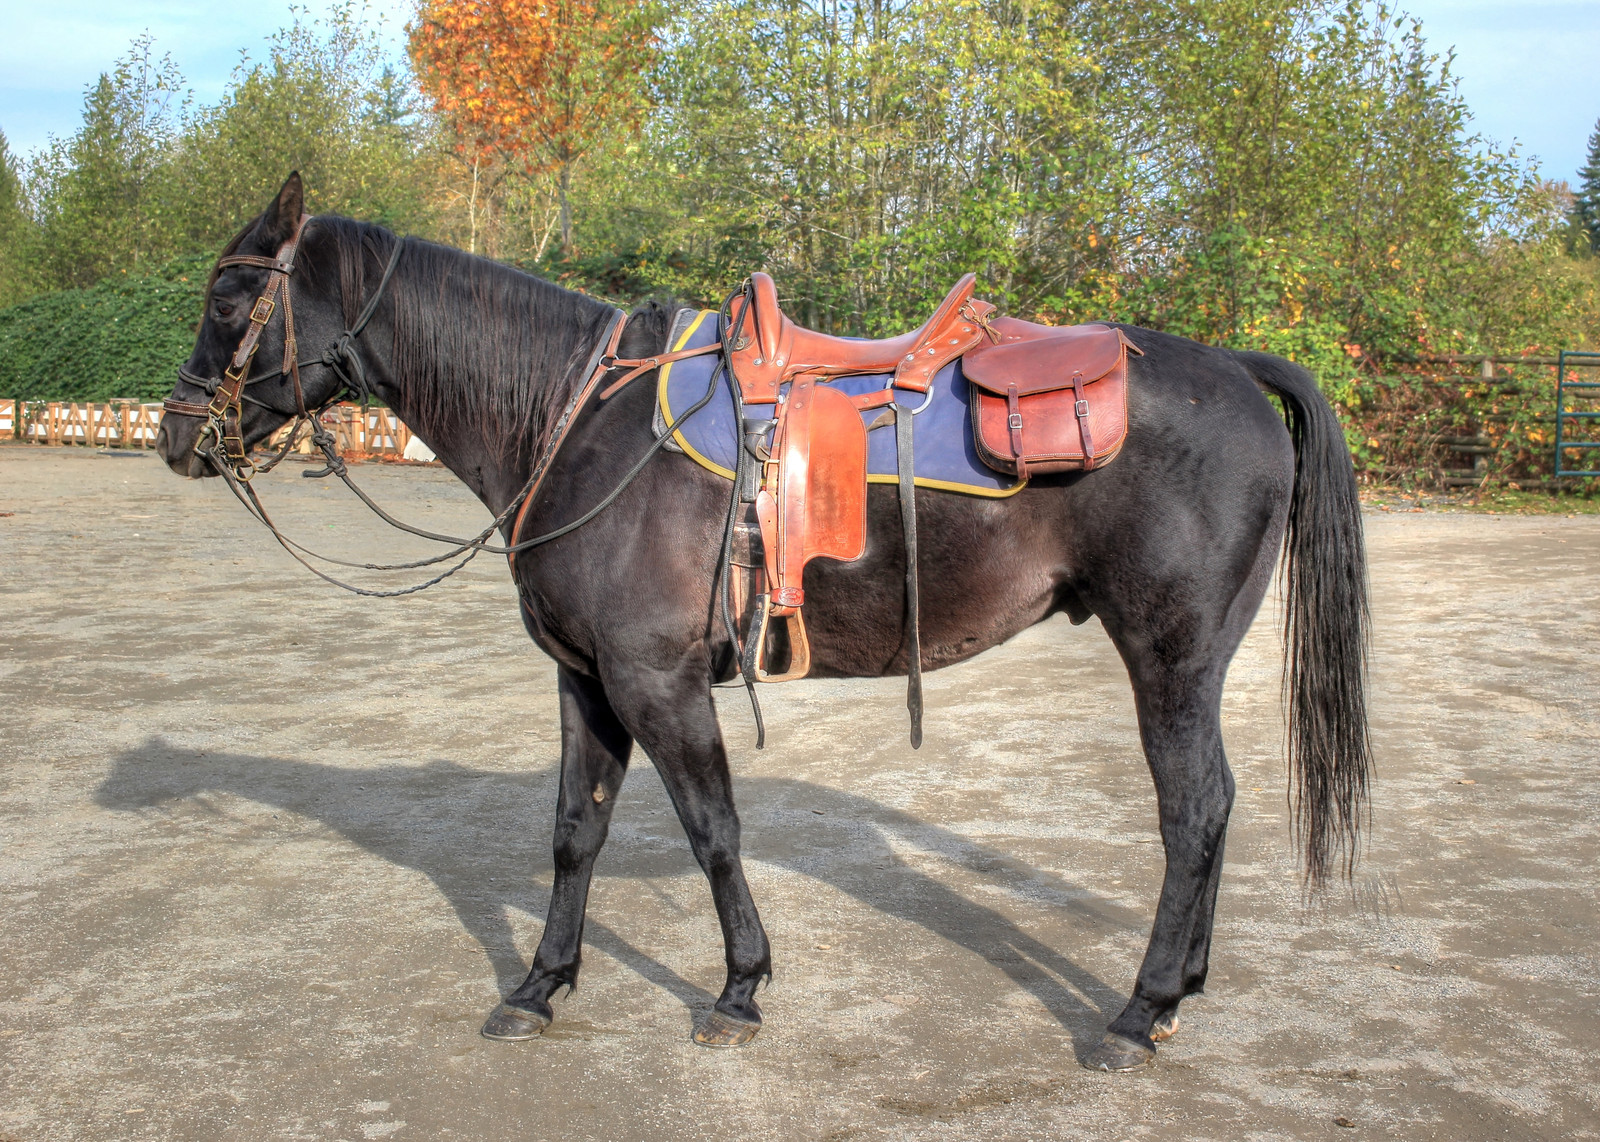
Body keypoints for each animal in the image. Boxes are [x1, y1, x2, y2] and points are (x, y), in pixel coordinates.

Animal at [155, 174, 1369, 1071]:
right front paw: (540, 985)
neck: (580, 421)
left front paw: (739, 988)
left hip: (1171, 657)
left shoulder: (658, 682)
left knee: (1192, 810)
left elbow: (714, 831)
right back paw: (1178, 992)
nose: (174, 434)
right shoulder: (586, 679)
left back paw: (1139, 1008)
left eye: (229, 305)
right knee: (1211, 808)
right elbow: (574, 831)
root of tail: (1236, 370)